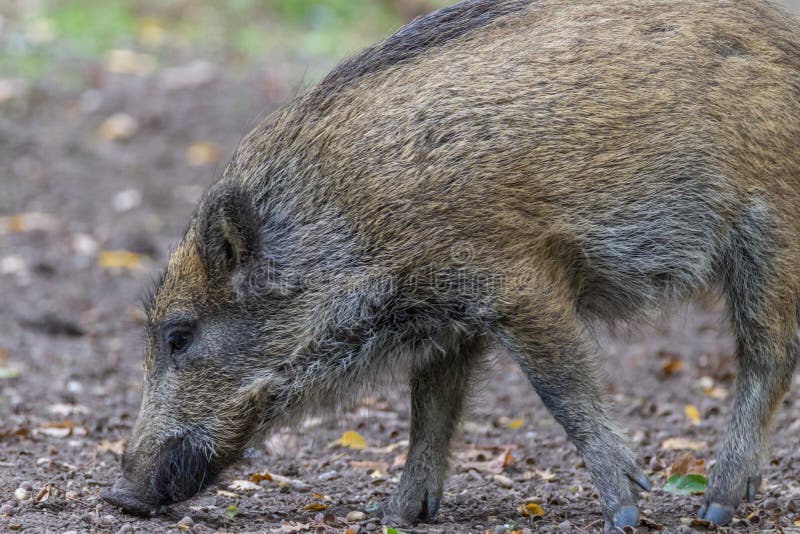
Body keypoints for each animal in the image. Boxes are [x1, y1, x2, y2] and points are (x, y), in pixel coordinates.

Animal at [102, 0, 800, 531]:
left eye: (178, 336)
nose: (119, 495)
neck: (347, 227)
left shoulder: (519, 279)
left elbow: (563, 390)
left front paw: (627, 511)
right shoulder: (450, 319)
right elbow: (430, 407)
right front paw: (397, 515)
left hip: (769, 234)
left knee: (769, 353)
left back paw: (717, 506)